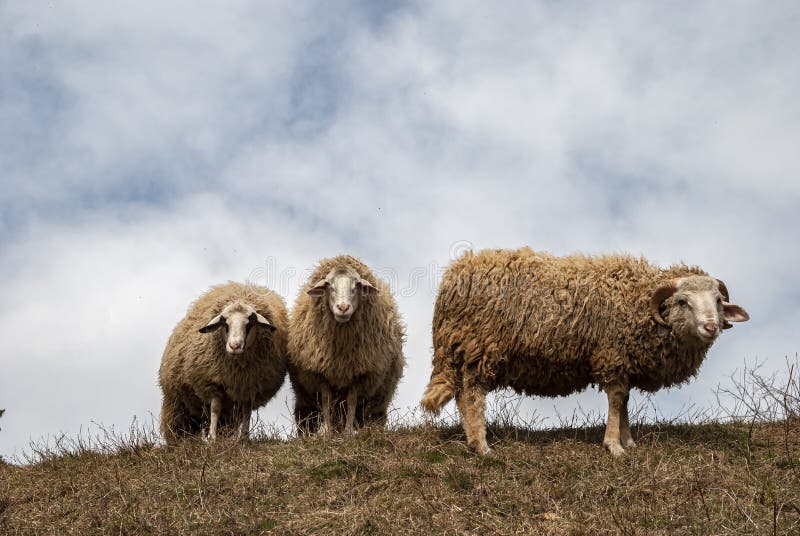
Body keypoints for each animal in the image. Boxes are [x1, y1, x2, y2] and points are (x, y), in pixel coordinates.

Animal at [158, 282, 289, 444]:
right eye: (225, 323)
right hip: (178, 401)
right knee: (180, 423)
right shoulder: (212, 383)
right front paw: (212, 439)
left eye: (250, 323)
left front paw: (244, 438)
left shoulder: (249, 387)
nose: (234, 346)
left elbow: (246, 411)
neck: (237, 369)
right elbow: (215, 408)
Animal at [288, 255, 405, 435]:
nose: (343, 307)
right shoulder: (321, 374)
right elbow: (326, 400)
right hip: (306, 402)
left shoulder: (358, 374)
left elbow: (351, 401)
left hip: (378, 403)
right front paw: (327, 434)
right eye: (329, 286)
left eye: (356, 285)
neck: (341, 352)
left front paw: (348, 433)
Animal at [420, 248, 749, 456]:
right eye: (683, 301)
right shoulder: (612, 354)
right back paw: (481, 446)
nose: (711, 327)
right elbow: (616, 400)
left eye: (717, 300)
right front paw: (614, 446)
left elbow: (624, 401)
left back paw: (472, 441)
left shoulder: (623, 362)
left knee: (462, 394)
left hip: (466, 349)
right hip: (480, 345)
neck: (638, 304)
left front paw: (628, 441)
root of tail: (452, 278)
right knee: (472, 394)